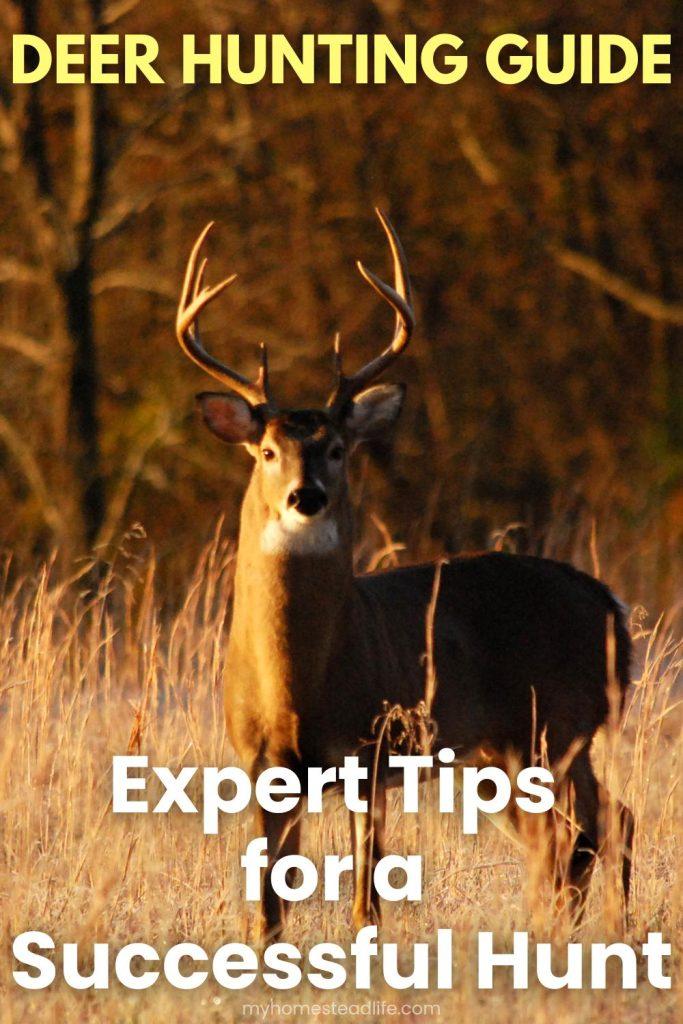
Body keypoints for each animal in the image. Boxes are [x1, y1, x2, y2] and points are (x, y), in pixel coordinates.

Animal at [175, 210, 634, 942]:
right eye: (268, 450)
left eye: (338, 449)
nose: (306, 496)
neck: (296, 688)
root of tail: (608, 599)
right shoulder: (262, 767)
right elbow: (270, 908)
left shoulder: (372, 752)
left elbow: (367, 899)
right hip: (500, 752)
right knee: (572, 835)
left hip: (560, 724)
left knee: (598, 827)